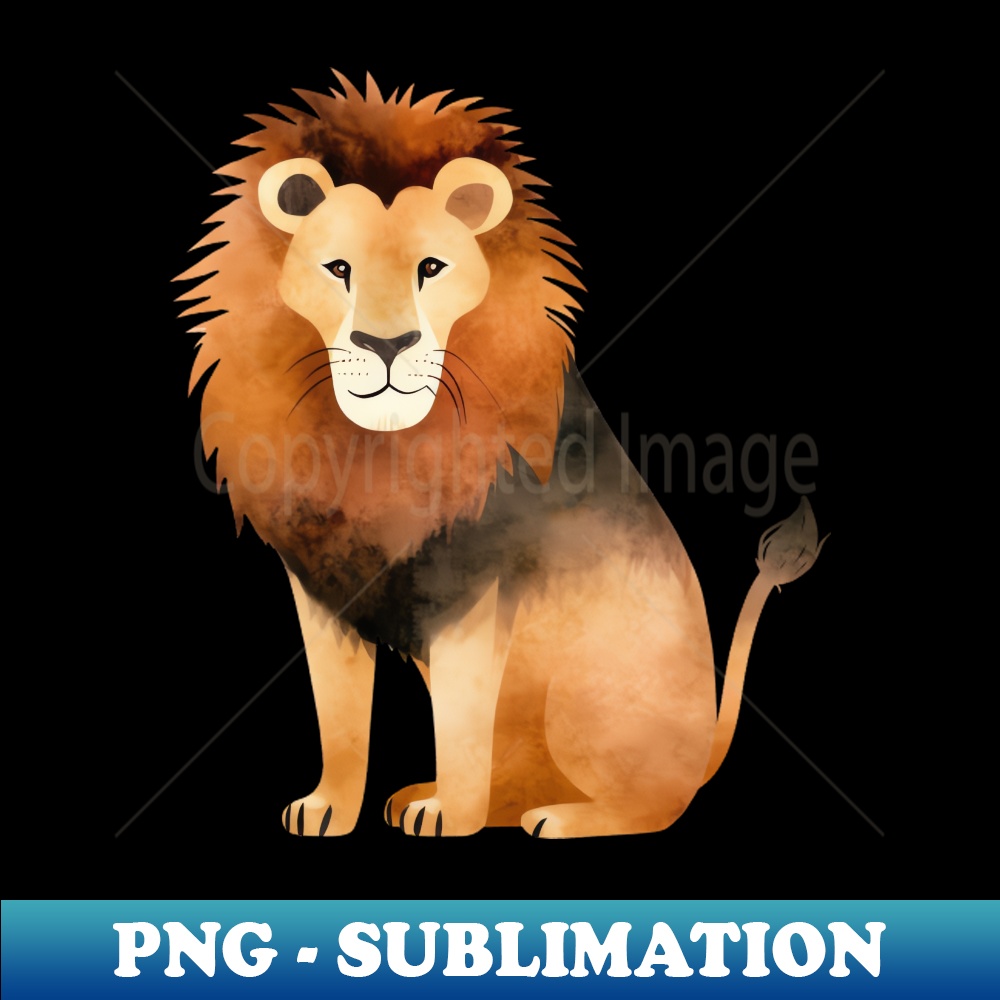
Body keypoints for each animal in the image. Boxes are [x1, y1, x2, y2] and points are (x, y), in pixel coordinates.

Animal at [180, 71, 824, 838]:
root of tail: (702, 751)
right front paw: (327, 807)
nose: (386, 345)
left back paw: (559, 818)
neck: (374, 446)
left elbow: (460, 723)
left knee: (656, 804)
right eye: (336, 269)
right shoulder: (322, 583)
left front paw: (447, 817)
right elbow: (338, 715)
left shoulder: (473, 585)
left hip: (591, 687)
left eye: (432, 268)